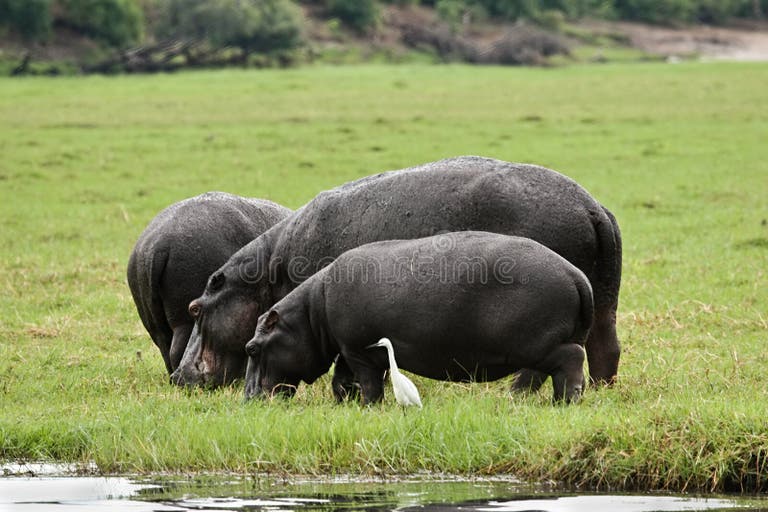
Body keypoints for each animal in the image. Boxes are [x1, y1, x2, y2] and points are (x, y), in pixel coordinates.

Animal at [244, 232, 593, 404]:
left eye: (252, 348)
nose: (248, 400)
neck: (310, 313)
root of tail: (576, 275)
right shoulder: (347, 348)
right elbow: (342, 381)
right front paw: (346, 406)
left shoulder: (358, 351)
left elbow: (367, 383)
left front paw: (367, 406)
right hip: (537, 346)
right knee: (541, 374)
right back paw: (535, 400)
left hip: (537, 345)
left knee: (570, 360)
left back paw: (567, 400)